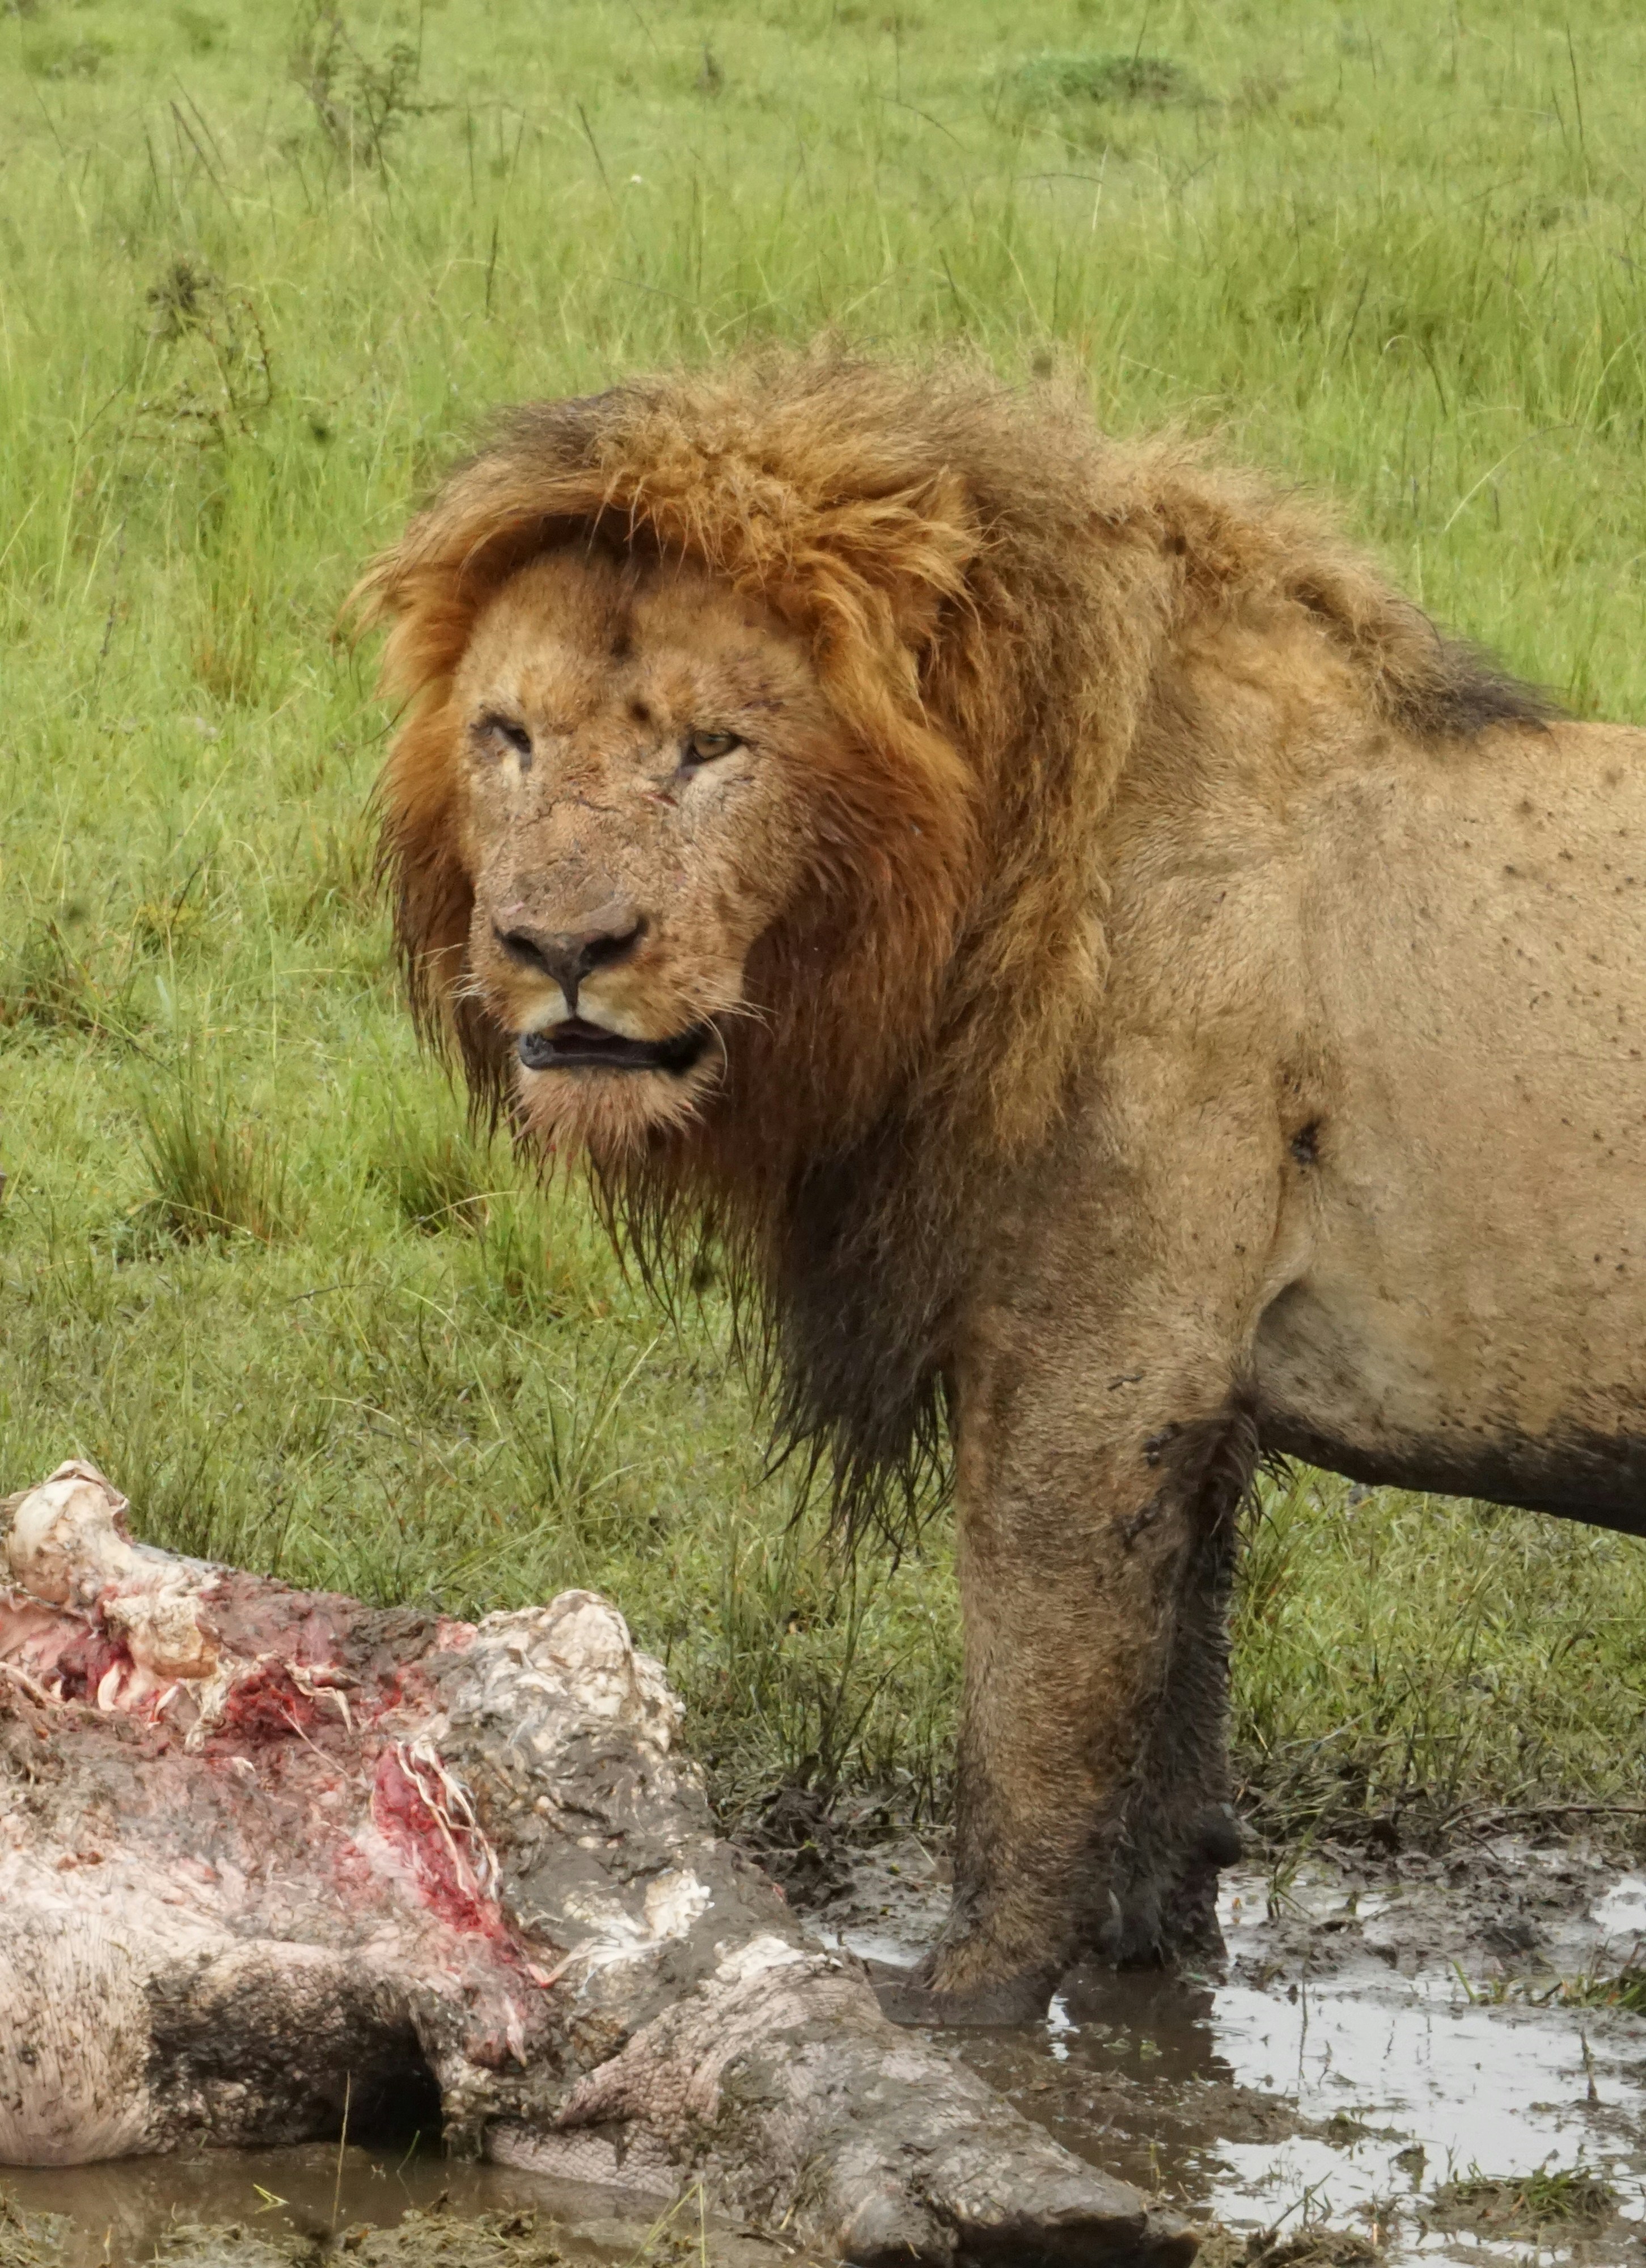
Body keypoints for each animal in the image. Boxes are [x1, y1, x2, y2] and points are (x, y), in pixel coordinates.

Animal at [357, 351, 1646, 2023]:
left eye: (709, 748)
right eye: (508, 734)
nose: (558, 948)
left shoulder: (1098, 1365)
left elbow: (1032, 1721)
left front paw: (955, 2006)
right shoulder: (1197, 1390)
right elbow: (1166, 1736)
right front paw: (1148, 1983)